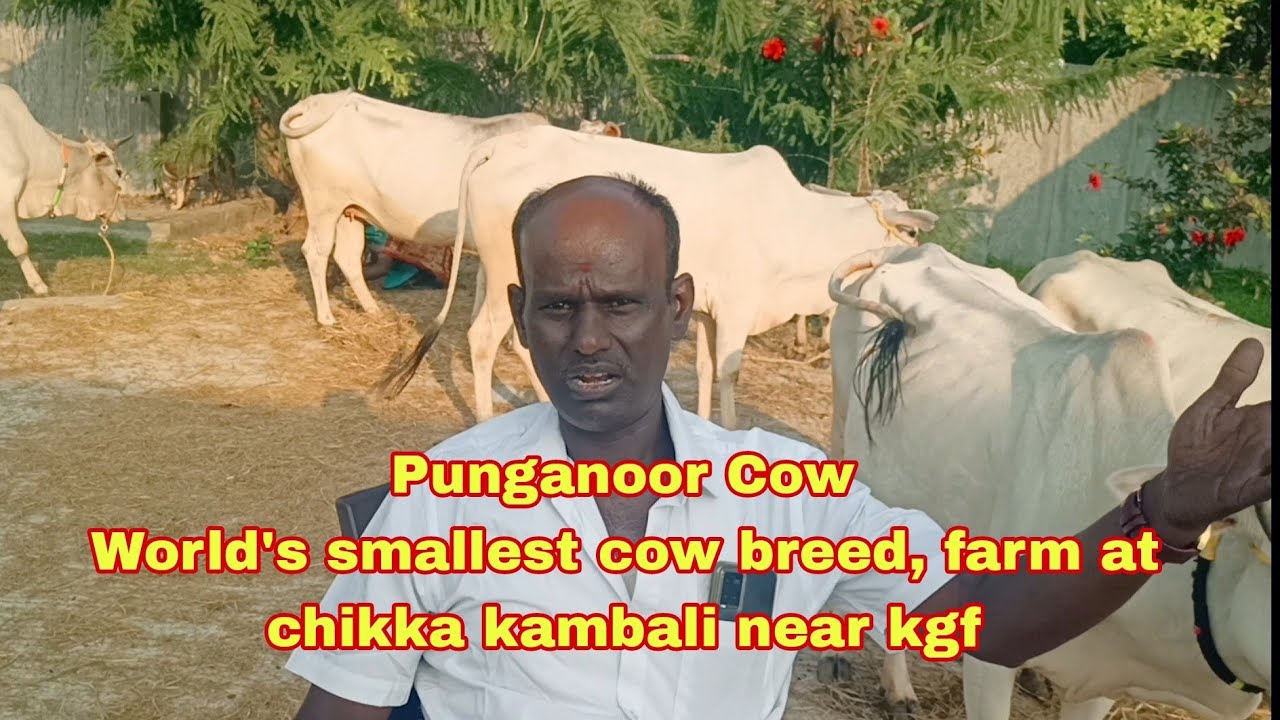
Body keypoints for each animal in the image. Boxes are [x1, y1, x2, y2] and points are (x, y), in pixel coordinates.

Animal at [375, 124, 939, 428]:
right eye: (908, 232)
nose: (917, 253)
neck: (797, 225)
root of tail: (503, 146)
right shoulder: (738, 304)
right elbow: (730, 372)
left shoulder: (707, 310)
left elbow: (709, 371)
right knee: (483, 338)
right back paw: (487, 418)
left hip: (500, 279)